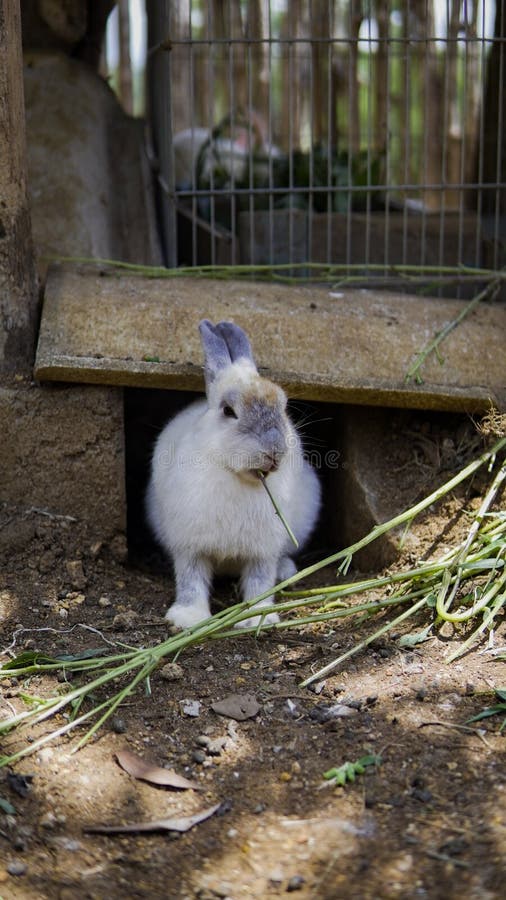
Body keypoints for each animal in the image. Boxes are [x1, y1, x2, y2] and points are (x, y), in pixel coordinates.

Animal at [146, 319, 321, 629]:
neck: (236, 475)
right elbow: (190, 582)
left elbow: (260, 582)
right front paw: (189, 619)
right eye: (228, 411)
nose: (274, 449)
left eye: (283, 407)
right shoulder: (189, 547)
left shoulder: (262, 551)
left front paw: (258, 618)